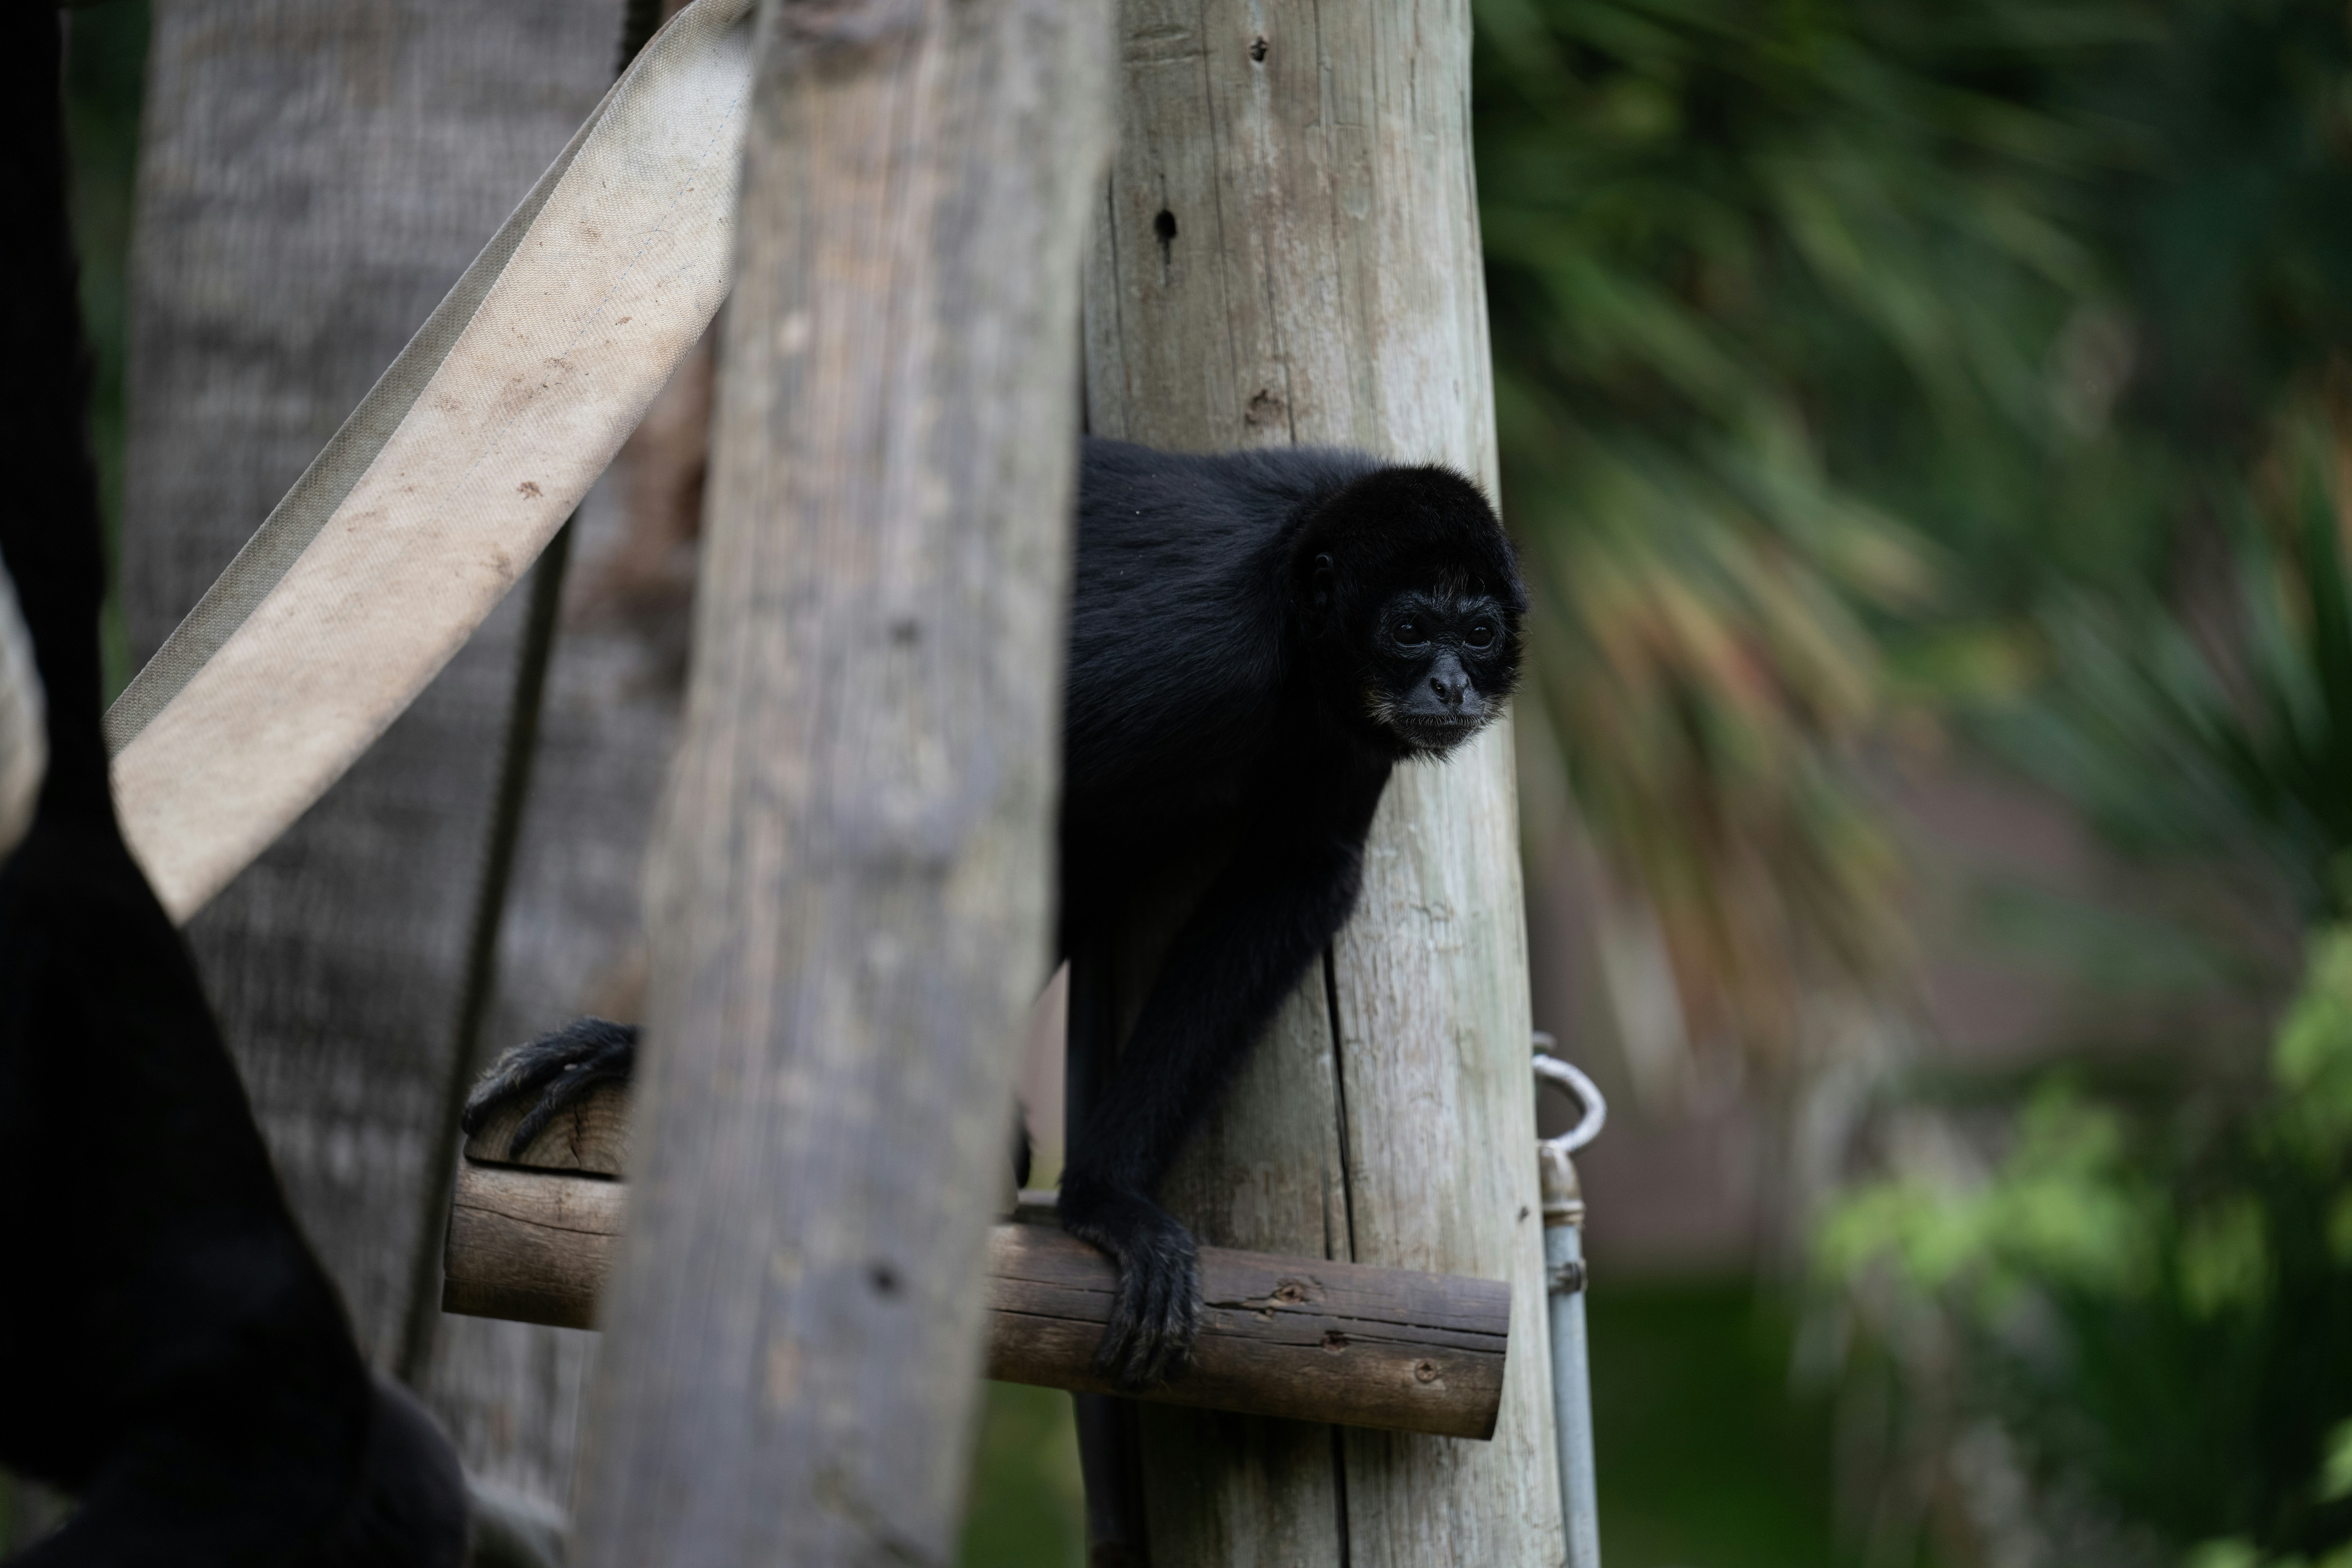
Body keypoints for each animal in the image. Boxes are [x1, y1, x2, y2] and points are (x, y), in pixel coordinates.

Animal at [464, 435, 1526, 1389]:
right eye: (1410, 628)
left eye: (1476, 633)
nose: (1449, 683)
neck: (1289, 591)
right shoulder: (1194, 655)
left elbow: (1298, 872)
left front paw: (1107, 1196)